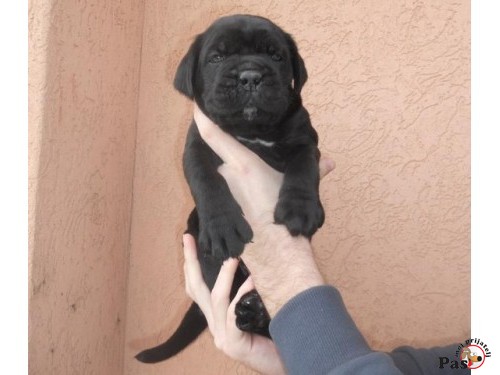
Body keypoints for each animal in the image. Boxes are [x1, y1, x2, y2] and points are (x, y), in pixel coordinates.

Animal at [137, 14, 324, 364]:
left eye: (276, 56)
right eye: (217, 57)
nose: (250, 76)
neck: (251, 131)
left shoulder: (304, 137)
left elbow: (304, 166)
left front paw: (300, 209)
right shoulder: (196, 146)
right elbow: (207, 182)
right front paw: (223, 228)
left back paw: (255, 312)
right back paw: (250, 311)